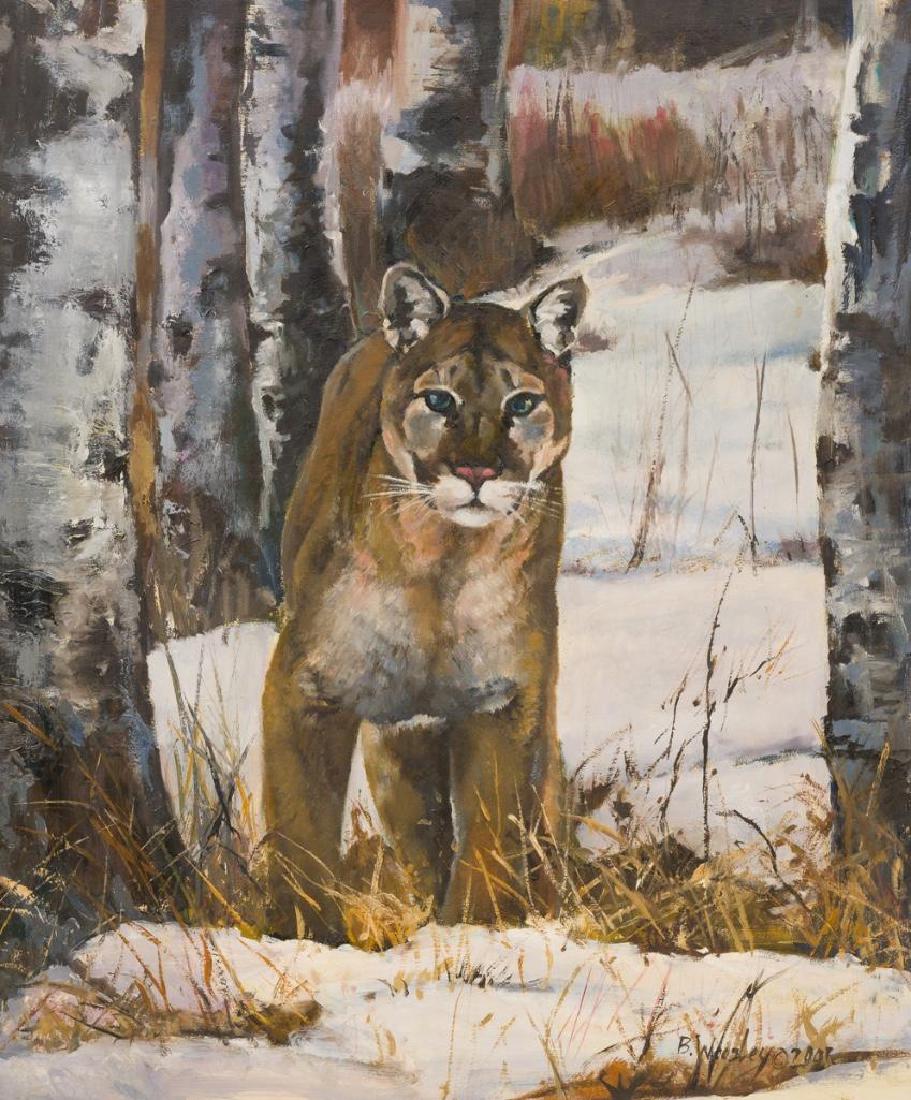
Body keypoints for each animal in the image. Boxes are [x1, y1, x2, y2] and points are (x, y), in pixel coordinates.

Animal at [260, 264, 587, 941]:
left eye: (522, 404)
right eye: (439, 401)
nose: (477, 473)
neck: (442, 567)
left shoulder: (507, 697)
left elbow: (492, 829)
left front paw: (480, 929)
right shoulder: (303, 687)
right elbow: (302, 830)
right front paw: (302, 935)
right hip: (396, 739)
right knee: (416, 833)